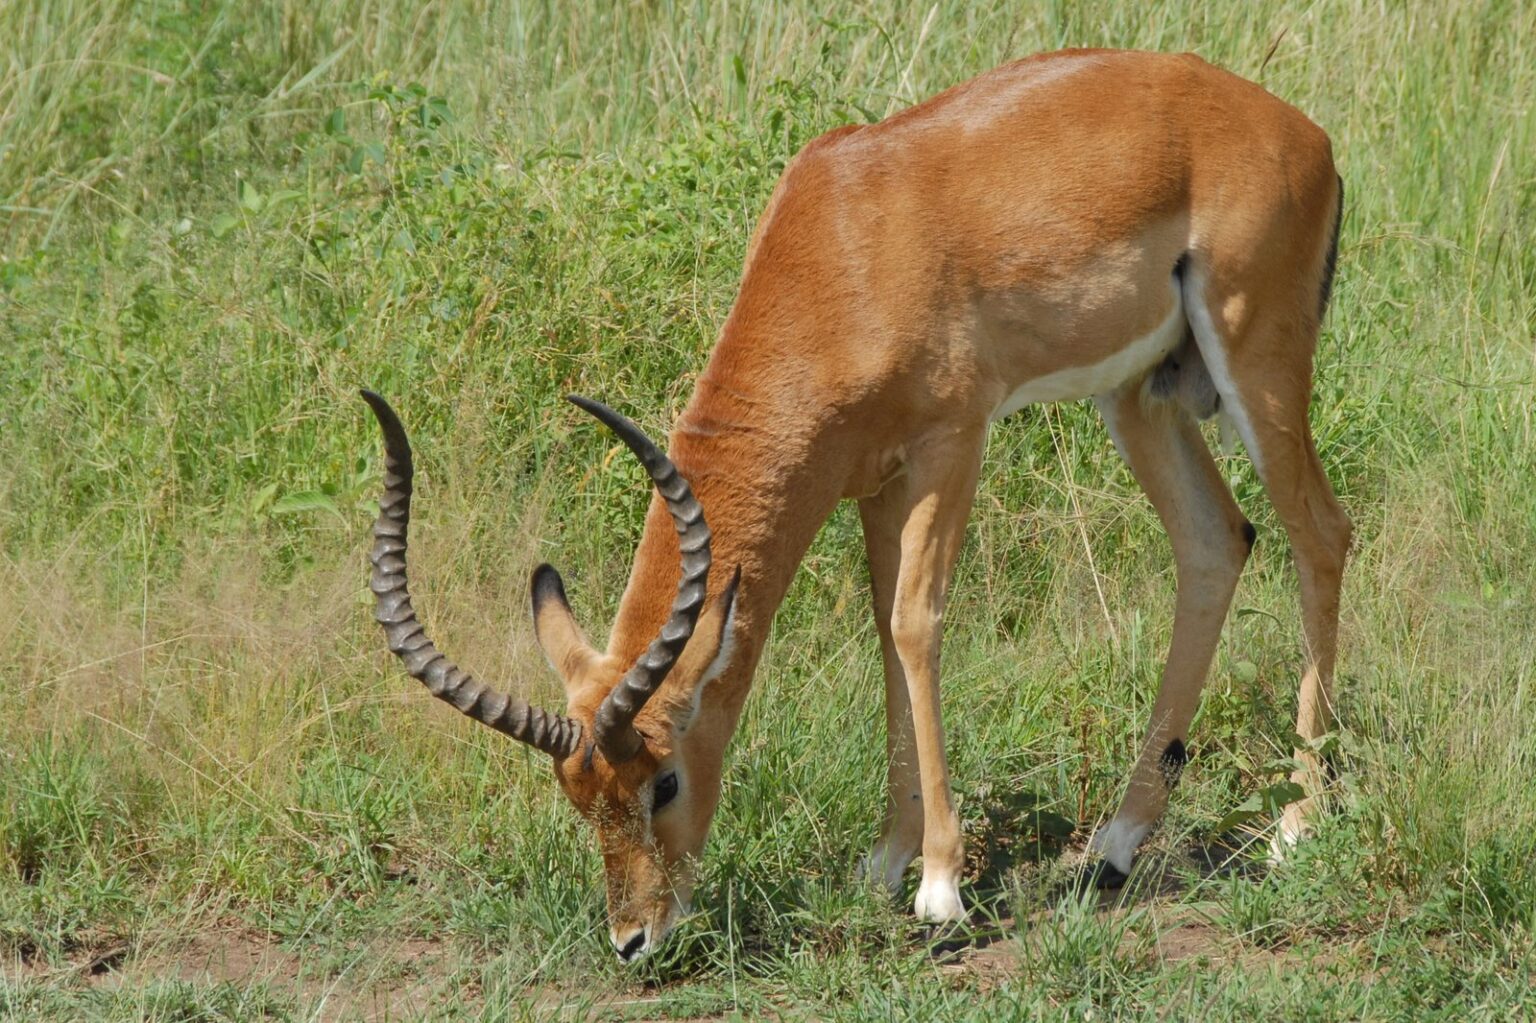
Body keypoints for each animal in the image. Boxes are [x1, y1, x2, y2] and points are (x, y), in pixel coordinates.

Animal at [361, 48, 1349, 962]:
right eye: (575, 793)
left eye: (663, 778)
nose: (634, 937)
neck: (843, 241)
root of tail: (1306, 134)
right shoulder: (875, 479)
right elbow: (882, 632)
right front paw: (885, 860)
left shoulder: (954, 439)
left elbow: (917, 623)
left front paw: (941, 887)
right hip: (1143, 392)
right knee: (1216, 541)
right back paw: (1114, 843)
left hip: (1255, 359)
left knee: (1321, 535)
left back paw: (1298, 826)